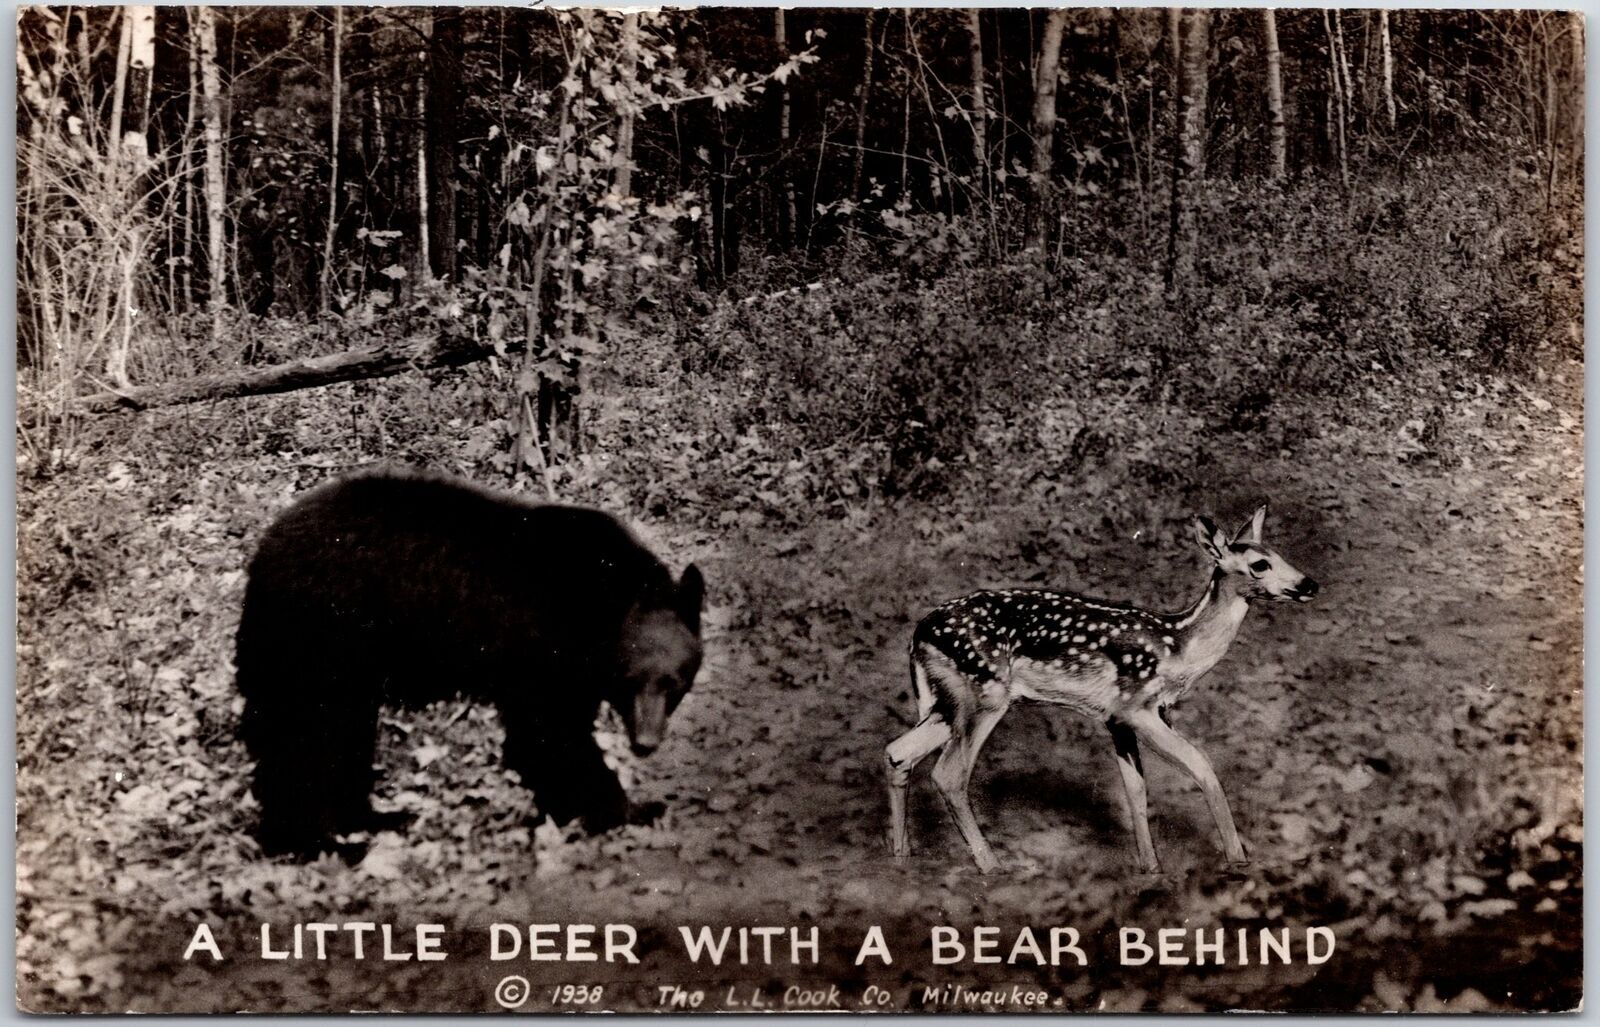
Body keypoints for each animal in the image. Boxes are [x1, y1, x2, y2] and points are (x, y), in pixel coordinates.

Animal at [234, 470, 705, 860]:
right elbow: (554, 732)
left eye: (674, 683)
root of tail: (264, 555)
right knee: (308, 737)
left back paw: (376, 819)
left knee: (344, 733)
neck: (598, 604)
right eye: (630, 680)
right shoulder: (543, 643)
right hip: (323, 636)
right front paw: (627, 809)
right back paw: (316, 843)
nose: (645, 743)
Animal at [885, 505, 1318, 875]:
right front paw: (1238, 860)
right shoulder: (1135, 706)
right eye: (1260, 564)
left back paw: (901, 856)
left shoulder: (1118, 720)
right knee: (949, 772)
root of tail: (919, 634)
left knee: (898, 752)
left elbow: (1136, 789)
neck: (1177, 647)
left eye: (1280, 554)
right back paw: (993, 866)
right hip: (984, 693)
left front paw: (1151, 868)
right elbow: (1201, 765)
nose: (1310, 583)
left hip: (946, 701)